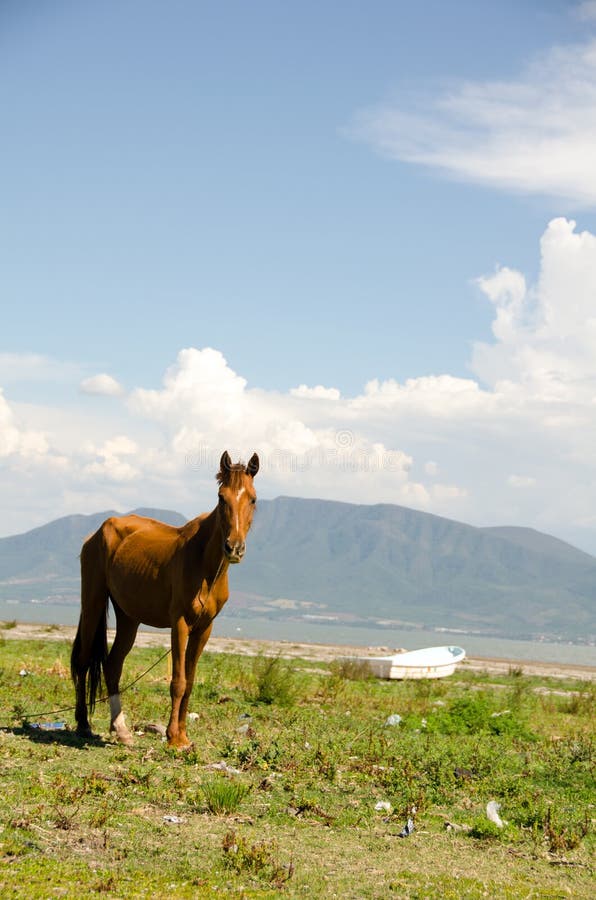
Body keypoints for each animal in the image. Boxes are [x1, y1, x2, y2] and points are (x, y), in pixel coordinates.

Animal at [70, 450, 259, 749]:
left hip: (128, 618)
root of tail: (97, 532)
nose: (234, 548)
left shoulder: (204, 629)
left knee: (112, 666)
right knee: (83, 660)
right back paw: (83, 724)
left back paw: (121, 729)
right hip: (93, 603)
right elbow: (178, 682)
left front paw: (183, 735)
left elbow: (190, 682)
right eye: (222, 497)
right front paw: (173, 738)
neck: (204, 564)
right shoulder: (179, 624)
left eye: (252, 499)